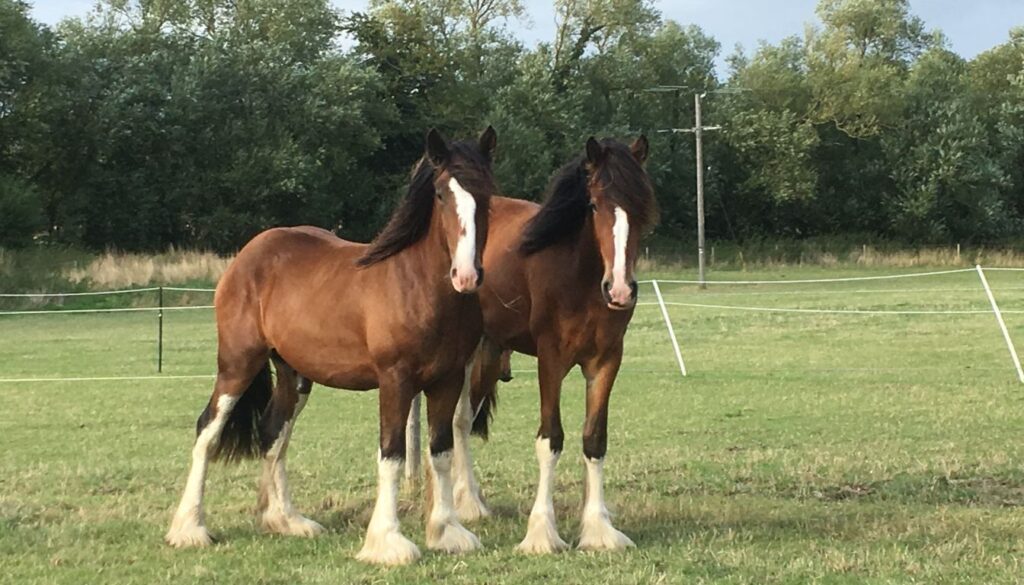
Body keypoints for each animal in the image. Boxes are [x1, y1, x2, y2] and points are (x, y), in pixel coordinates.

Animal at [164, 127, 499, 566]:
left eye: (488, 194)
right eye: (442, 194)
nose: (466, 275)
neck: (420, 286)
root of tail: (247, 255)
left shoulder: (447, 380)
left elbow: (440, 452)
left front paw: (446, 532)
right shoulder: (395, 380)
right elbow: (391, 454)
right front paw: (387, 542)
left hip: (293, 374)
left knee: (273, 433)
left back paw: (287, 521)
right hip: (238, 364)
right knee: (207, 429)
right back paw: (189, 529)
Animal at [448, 136, 656, 553]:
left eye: (642, 204)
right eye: (594, 204)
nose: (620, 289)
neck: (579, 278)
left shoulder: (606, 361)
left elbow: (594, 440)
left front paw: (598, 529)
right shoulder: (551, 360)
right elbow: (551, 439)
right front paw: (542, 533)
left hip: (491, 353)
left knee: (462, 419)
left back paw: (472, 502)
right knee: (455, 420)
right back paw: (465, 505)